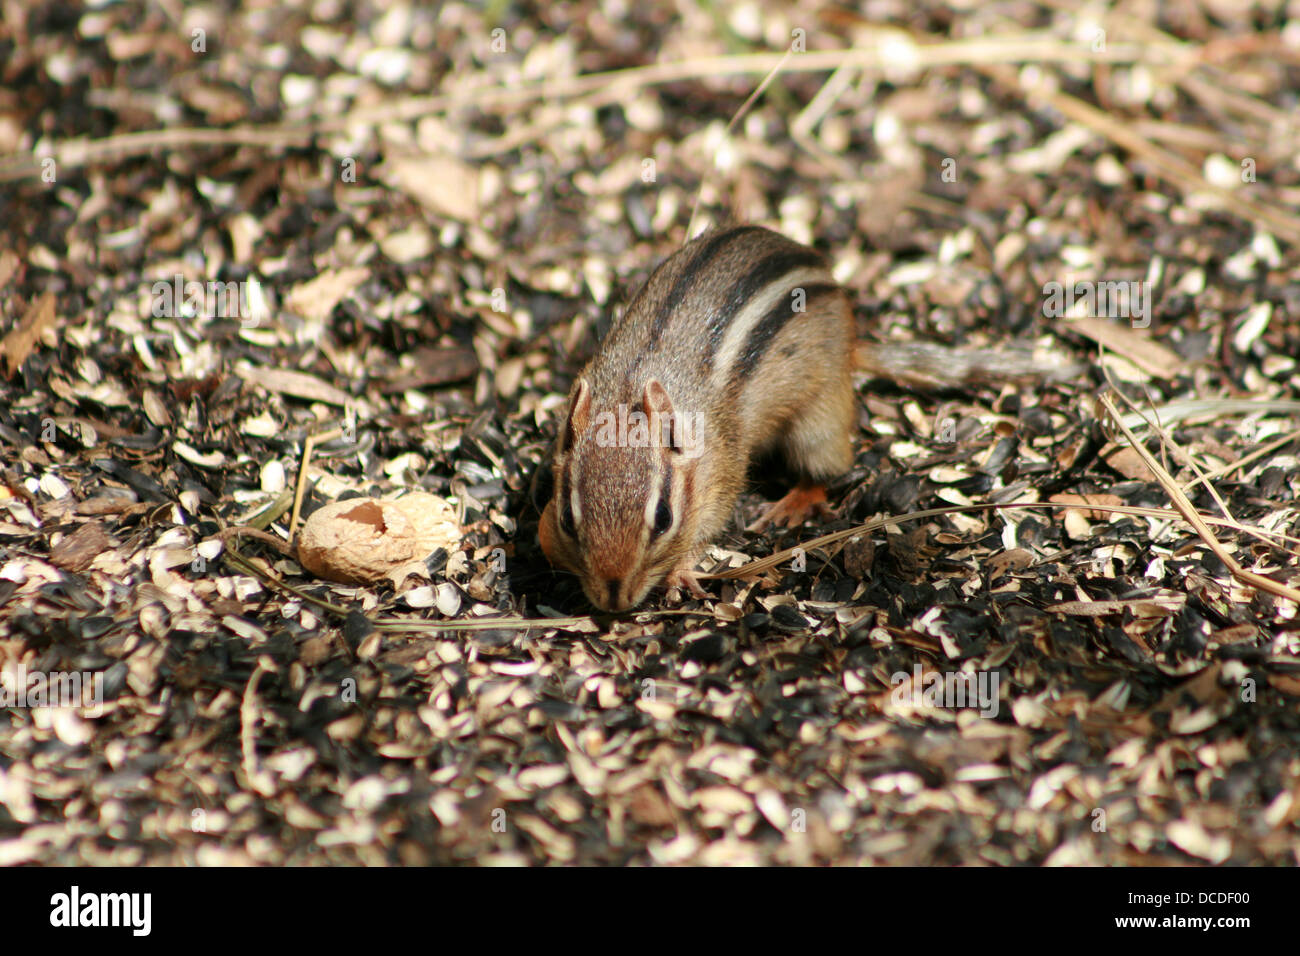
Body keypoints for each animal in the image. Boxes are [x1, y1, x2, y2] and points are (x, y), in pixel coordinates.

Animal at [537, 223, 1080, 612]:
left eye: (664, 518)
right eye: (567, 518)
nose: (613, 601)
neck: (629, 386)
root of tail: (854, 342)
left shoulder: (721, 471)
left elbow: (710, 524)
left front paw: (682, 571)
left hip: (818, 418)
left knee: (828, 467)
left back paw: (796, 501)